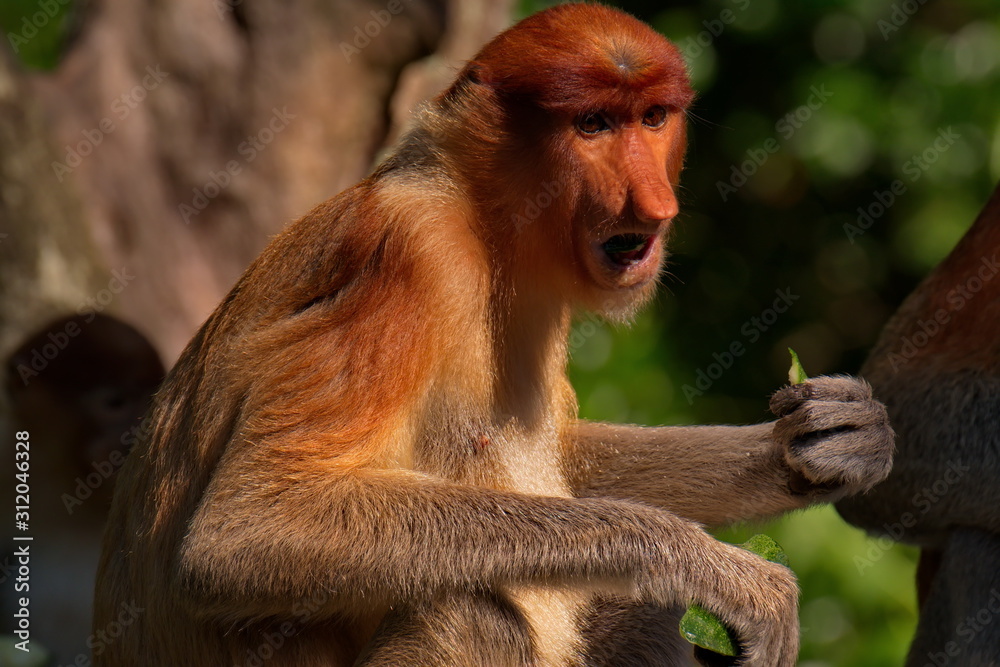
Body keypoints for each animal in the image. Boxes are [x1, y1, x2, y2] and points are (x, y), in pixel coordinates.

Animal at [94, 5, 894, 666]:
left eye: (653, 117)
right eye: (593, 125)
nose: (654, 202)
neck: (482, 219)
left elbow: (566, 452)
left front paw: (825, 442)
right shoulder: (407, 257)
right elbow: (243, 530)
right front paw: (700, 562)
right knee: (470, 606)